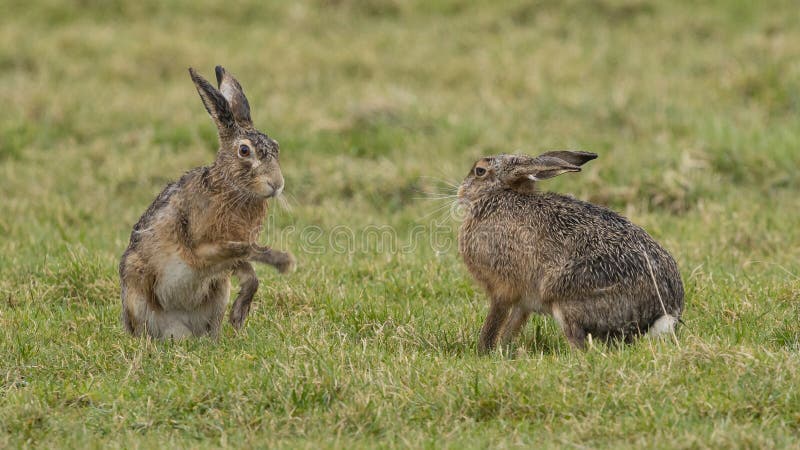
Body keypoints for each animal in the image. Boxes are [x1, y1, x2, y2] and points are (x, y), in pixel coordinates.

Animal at [119, 66, 295, 339]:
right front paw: (283, 261)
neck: (230, 188)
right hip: (136, 288)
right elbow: (246, 249)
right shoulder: (201, 247)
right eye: (244, 151)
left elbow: (248, 269)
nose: (277, 184)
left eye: (276, 147)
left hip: (219, 293)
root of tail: (178, 330)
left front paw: (239, 315)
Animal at [457, 151, 684, 352]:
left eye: (479, 171)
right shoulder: (523, 301)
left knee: (580, 345)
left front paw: (483, 351)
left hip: (566, 302)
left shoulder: (502, 288)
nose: (460, 192)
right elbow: (513, 324)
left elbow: (494, 321)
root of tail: (663, 311)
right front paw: (502, 351)